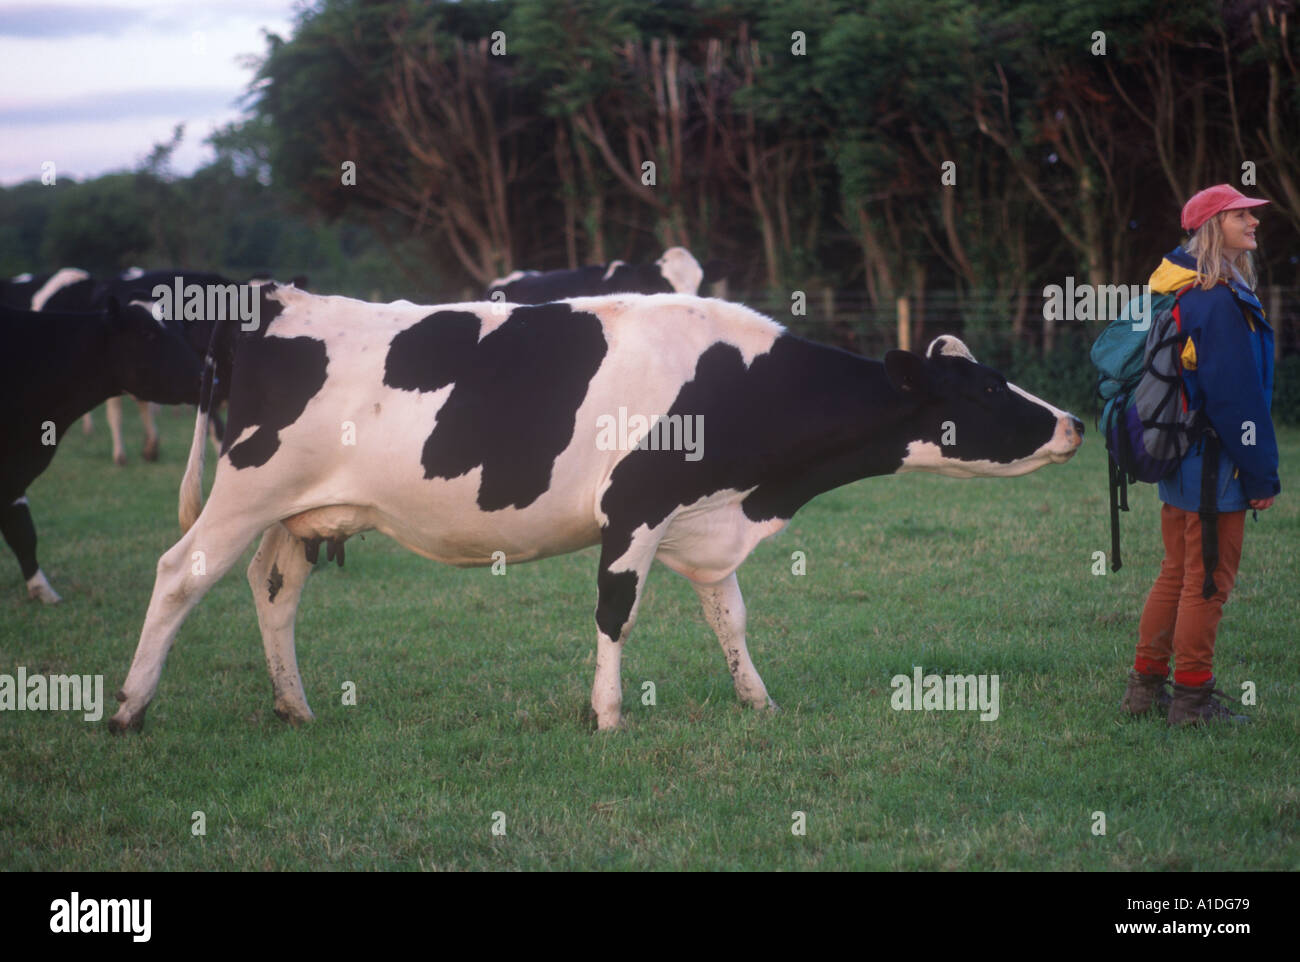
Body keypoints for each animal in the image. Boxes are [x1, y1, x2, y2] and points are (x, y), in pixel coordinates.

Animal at [1, 299, 204, 603]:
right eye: (147, 334)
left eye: (181, 329)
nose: (207, 376)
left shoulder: (16, 474)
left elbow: (22, 531)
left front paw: (43, 591)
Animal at [107, 286, 1083, 733]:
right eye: (985, 388)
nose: (1073, 422)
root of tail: (269, 301)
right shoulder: (635, 511)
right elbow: (617, 613)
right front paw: (608, 715)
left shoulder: (704, 520)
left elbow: (729, 615)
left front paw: (758, 702)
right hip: (247, 489)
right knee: (180, 573)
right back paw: (127, 708)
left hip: (303, 514)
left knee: (272, 589)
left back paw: (296, 708)